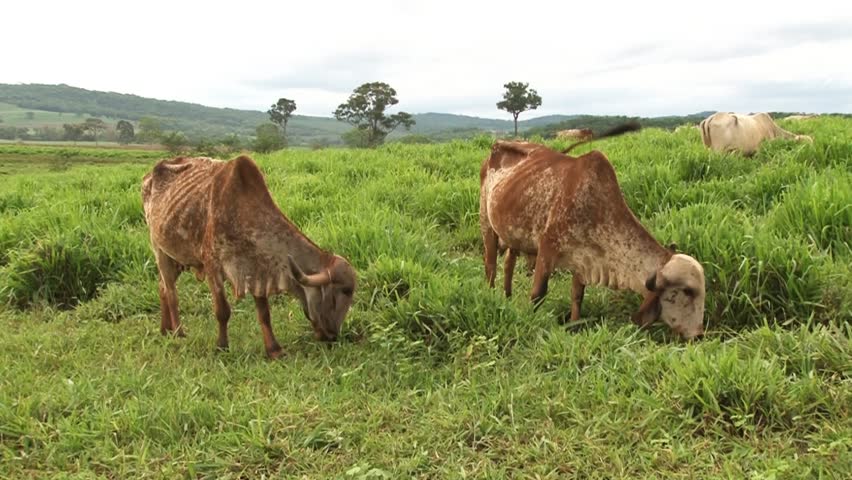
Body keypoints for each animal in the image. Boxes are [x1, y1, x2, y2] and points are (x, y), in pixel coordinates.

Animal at [141, 155, 357, 358]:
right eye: (345, 291)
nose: (333, 336)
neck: (243, 213)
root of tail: (149, 176)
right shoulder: (212, 266)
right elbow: (223, 311)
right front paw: (222, 347)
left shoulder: (258, 269)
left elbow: (264, 314)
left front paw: (274, 350)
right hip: (159, 250)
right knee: (171, 293)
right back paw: (178, 333)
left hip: (177, 259)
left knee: (162, 288)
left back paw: (165, 330)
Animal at [479, 122, 706, 340]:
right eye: (687, 292)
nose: (698, 334)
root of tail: (494, 149)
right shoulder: (547, 250)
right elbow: (537, 294)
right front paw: (533, 322)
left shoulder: (583, 260)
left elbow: (577, 296)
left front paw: (573, 326)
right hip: (486, 223)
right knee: (490, 266)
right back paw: (492, 296)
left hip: (513, 235)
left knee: (508, 263)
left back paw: (508, 297)